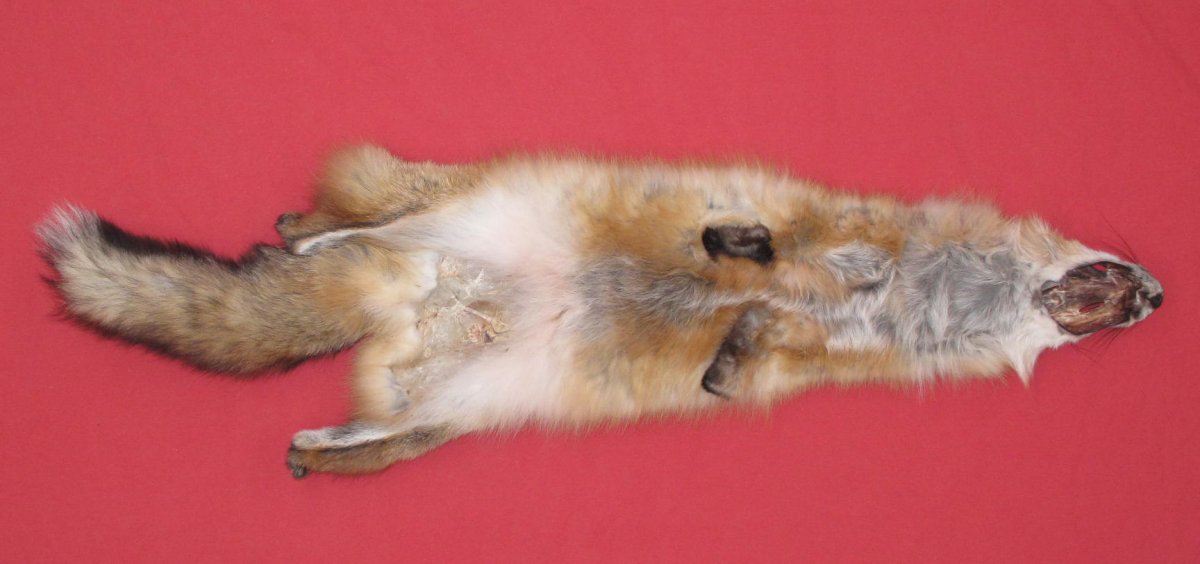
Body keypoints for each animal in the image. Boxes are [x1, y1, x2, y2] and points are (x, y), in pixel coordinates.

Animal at [37, 145, 1164, 478]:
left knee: (380, 434)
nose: (1158, 295)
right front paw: (733, 249)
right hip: (450, 219)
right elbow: (763, 249)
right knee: (361, 224)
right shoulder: (815, 237)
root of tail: (421, 297)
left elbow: (754, 341)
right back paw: (306, 234)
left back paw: (320, 445)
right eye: (1124, 280)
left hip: (462, 408)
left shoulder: (805, 346)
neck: (912, 286)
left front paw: (724, 352)